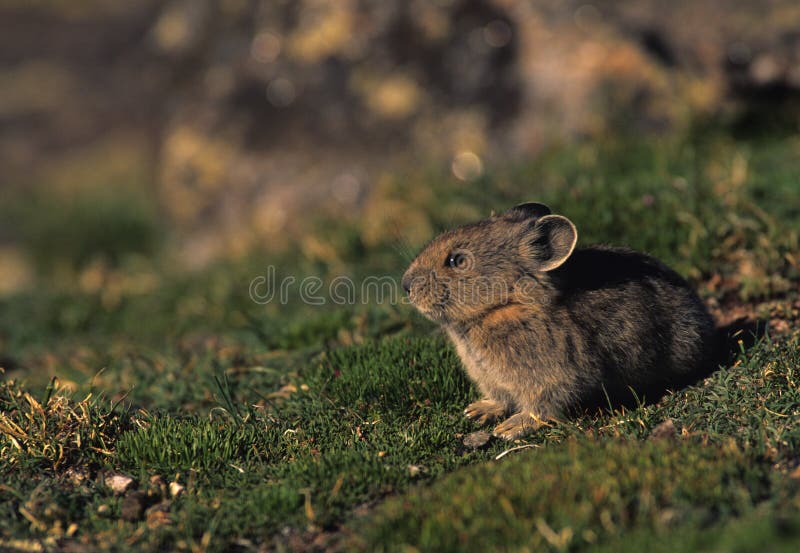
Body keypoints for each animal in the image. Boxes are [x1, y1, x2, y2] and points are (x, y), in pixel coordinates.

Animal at [401, 202, 717, 440]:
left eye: (457, 260)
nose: (406, 285)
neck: (503, 306)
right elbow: (499, 397)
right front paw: (479, 410)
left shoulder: (551, 379)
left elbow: (541, 406)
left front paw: (510, 428)